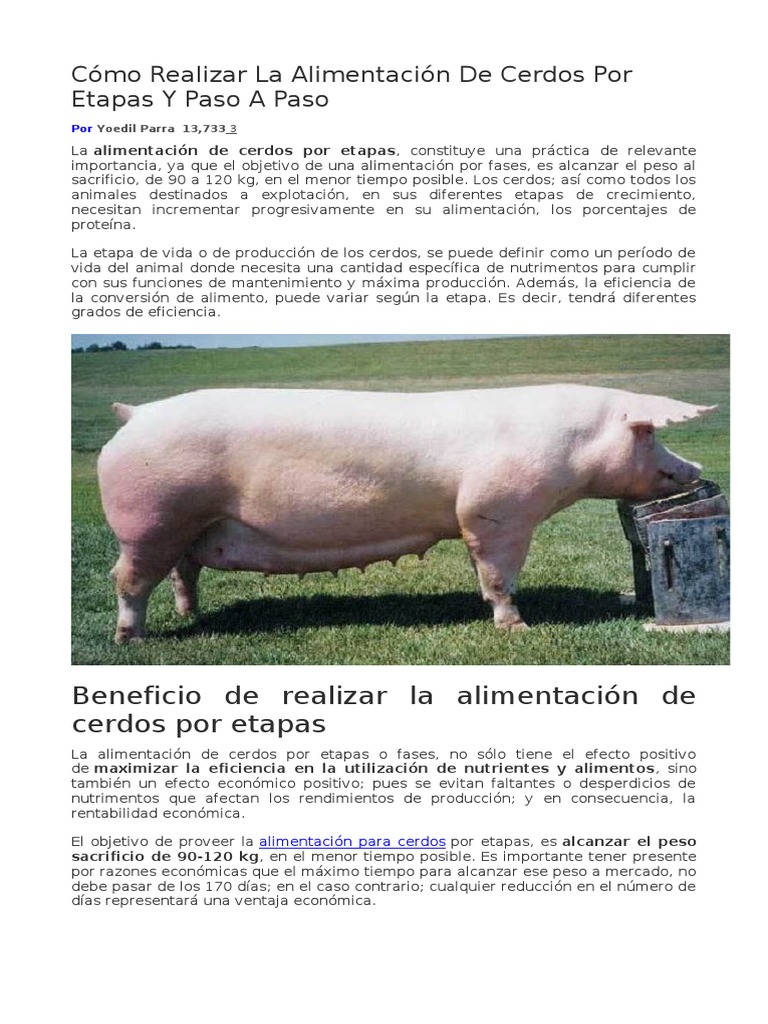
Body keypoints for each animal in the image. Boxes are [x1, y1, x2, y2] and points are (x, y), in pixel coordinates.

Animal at [96, 385, 714, 642]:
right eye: (649, 434)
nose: (696, 465)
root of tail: (136, 415)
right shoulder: (495, 509)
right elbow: (500, 573)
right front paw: (517, 626)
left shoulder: (477, 518)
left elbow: (480, 570)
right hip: (151, 518)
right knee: (126, 579)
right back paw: (133, 639)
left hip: (186, 527)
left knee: (184, 572)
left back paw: (190, 616)